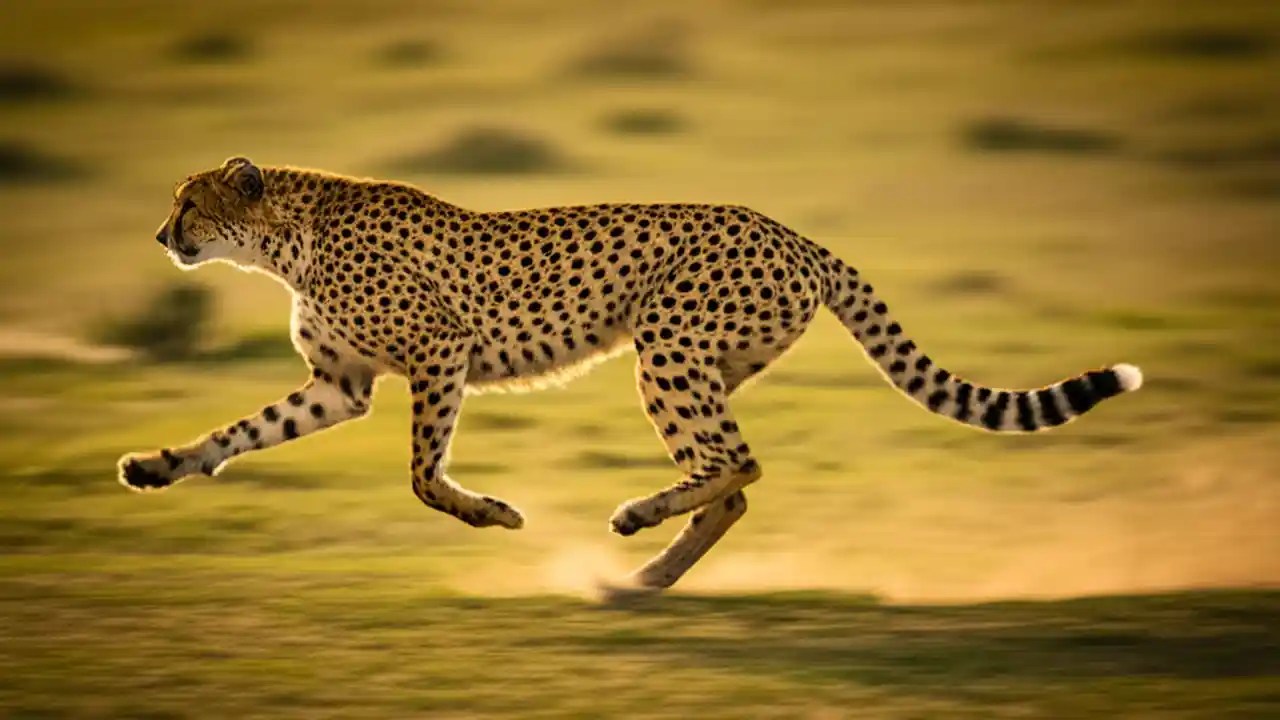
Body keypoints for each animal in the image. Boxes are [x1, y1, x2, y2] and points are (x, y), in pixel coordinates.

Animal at [117, 157, 1143, 594]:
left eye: (187, 203)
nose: (162, 235)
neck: (285, 237)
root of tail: (786, 229)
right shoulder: (341, 384)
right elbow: (236, 435)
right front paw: (156, 467)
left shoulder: (441, 353)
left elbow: (420, 476)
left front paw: (496, 515)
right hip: (698, 361)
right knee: (731, 481)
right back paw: (649, 574)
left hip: (668, 347)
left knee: (739, 464)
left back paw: (640, 521)